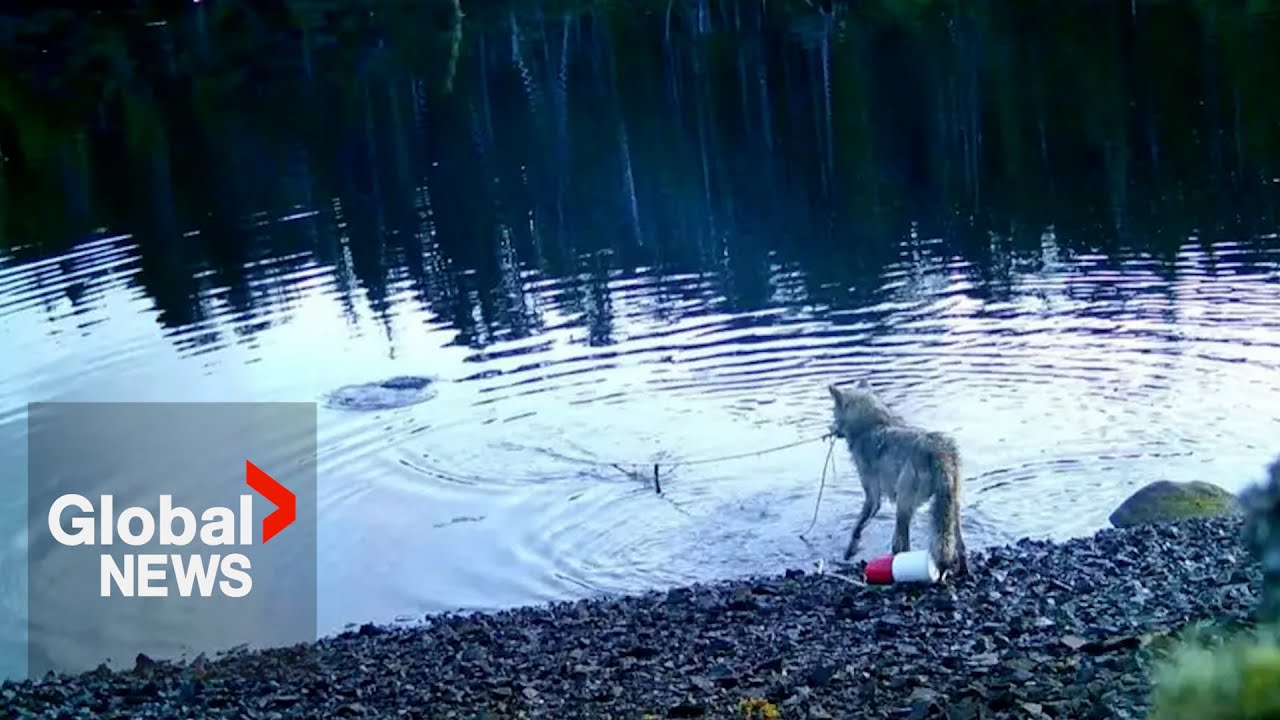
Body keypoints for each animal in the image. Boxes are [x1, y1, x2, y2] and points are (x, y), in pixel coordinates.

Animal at [828, 380, 968, 576]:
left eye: (833, 413)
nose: (830, 429)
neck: (873, 425)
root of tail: (940, 453)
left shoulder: (872, 496)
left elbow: (857, 525)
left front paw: (849, 551)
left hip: (903, 506)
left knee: (902, 545)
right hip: (951, 509)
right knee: (960, 547)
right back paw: (964, 572)